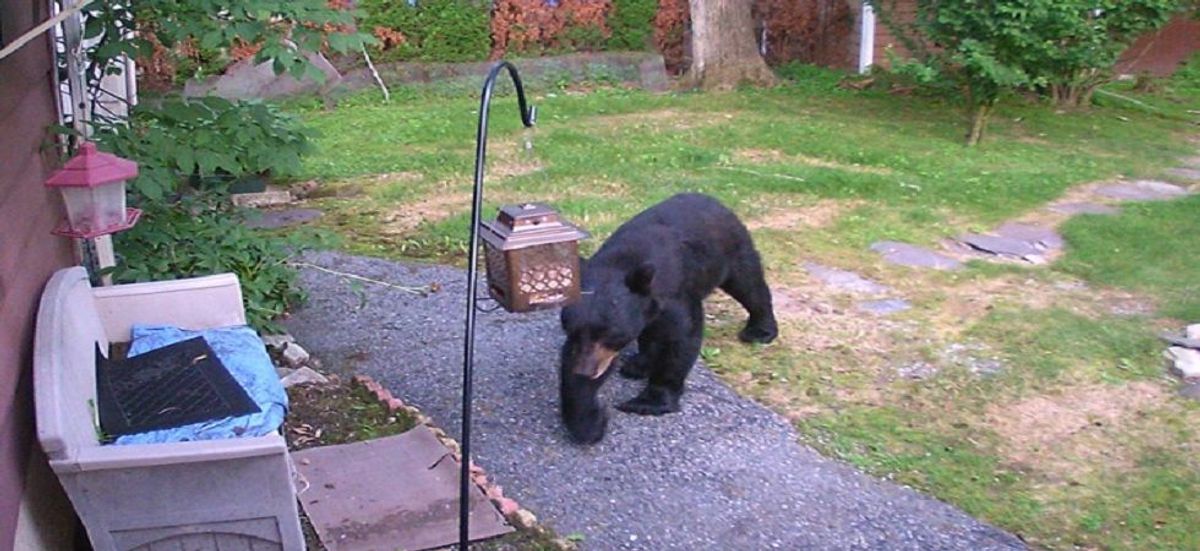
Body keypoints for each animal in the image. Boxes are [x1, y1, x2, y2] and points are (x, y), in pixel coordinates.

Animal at [559, 193, 778, 444]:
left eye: (613, 335)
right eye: (569, 329)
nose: (586, 370)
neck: (622, 263)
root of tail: (710, 198)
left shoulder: (674, 296)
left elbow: (681, 341)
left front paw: (648, 402)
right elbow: (573, 365)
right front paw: (589, 422)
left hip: (731, 248)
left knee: (749, 284)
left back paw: (761, 330)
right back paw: (639, 365)